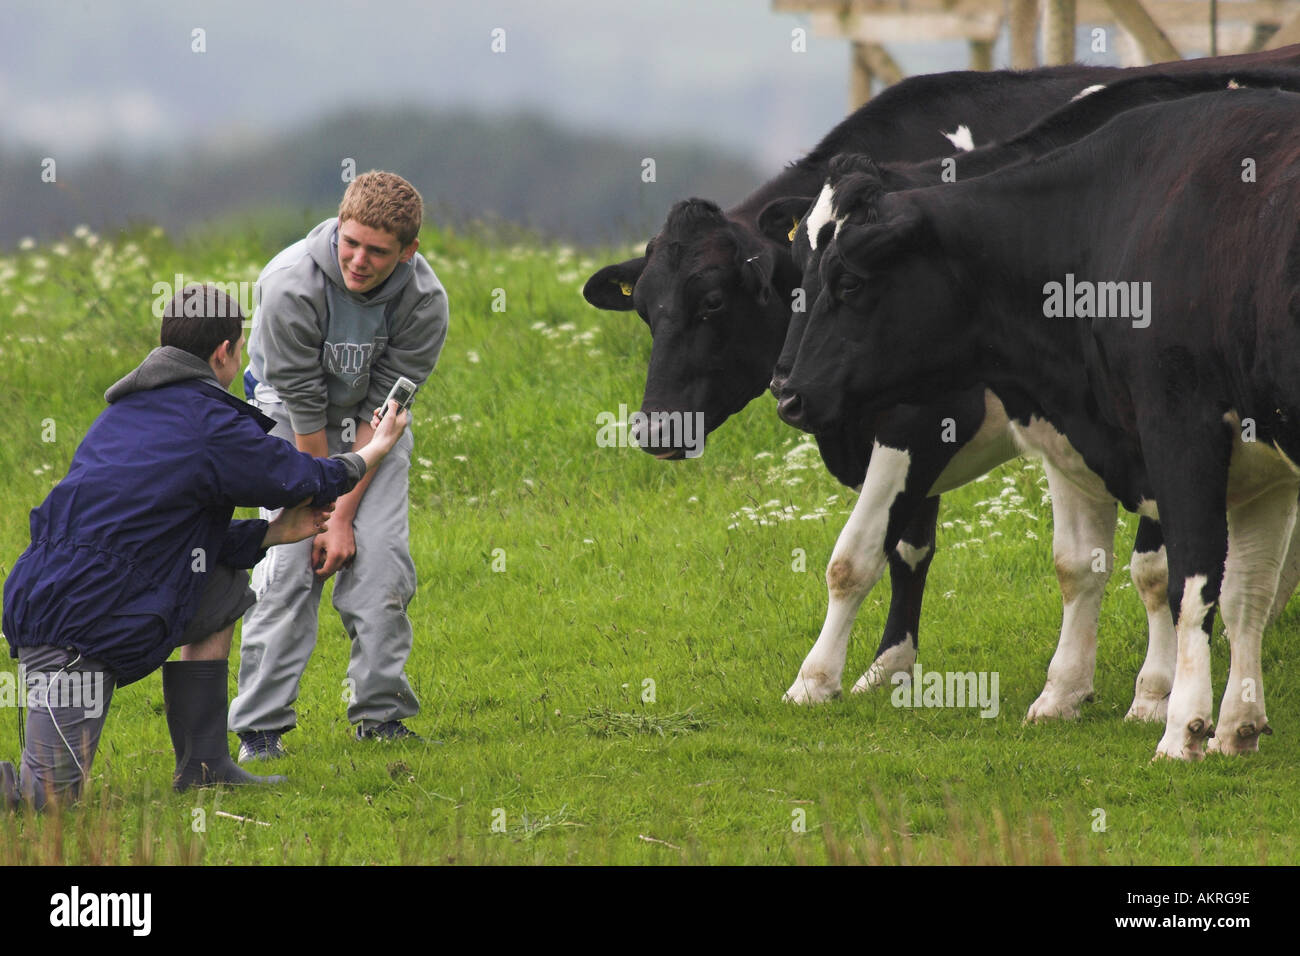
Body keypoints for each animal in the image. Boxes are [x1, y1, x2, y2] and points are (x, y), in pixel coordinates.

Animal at [776, 87, 1300, 760]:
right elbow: (1119, 572)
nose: (788, 393)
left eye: (848, 281)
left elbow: (1182, 580)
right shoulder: (1083, 436)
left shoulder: (1177, 430)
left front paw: (1174, 718)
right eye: (800, 272)